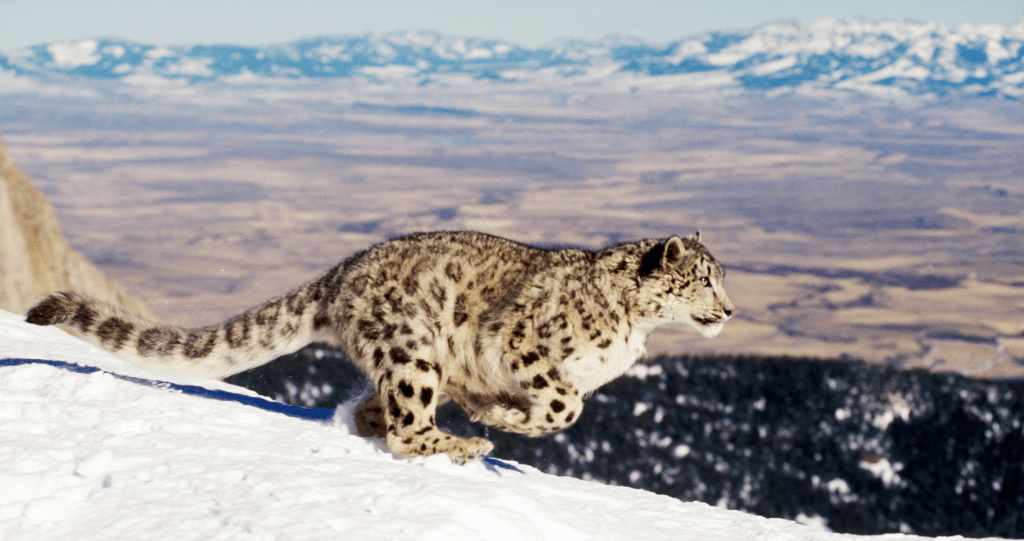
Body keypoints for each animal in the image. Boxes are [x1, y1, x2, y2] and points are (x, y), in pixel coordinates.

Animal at [25, 230, 734, 463]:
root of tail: (341, 273)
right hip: (415, 351)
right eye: (704, 278)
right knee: (405, 428)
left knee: (379, 412)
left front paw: (495, 409)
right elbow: (564, 406)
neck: (636, 332)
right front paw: (504, 418)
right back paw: (465, 443)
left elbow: (565, 407)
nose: (729, 310)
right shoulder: (524, 343)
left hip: (411, 360)